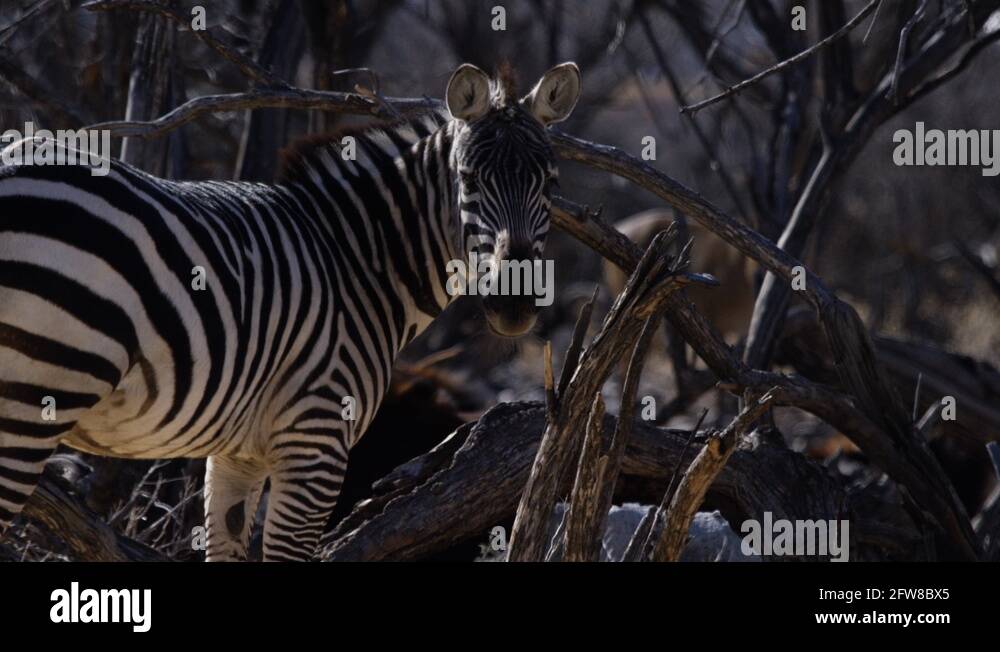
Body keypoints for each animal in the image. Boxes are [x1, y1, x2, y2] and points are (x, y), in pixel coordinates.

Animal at [0, 62, 581, 560]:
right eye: (468, 180)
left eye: (551, 183)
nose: (514, 304)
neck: (356, 259)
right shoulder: (316, 439)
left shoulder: (239, 451)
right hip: (32, 400)